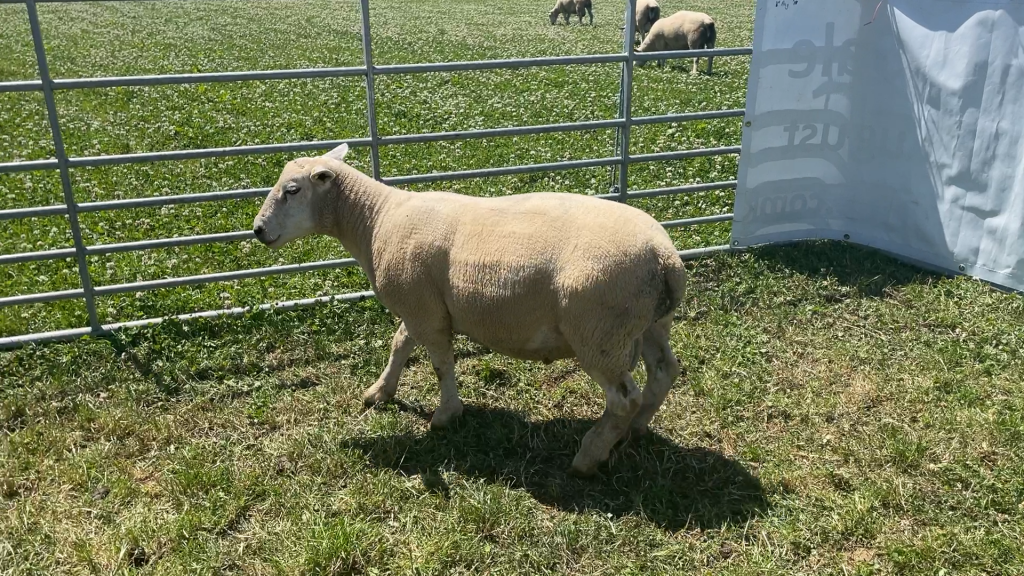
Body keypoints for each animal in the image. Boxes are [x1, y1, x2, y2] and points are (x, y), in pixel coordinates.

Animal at [252, 143, 686, 477]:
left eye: (292, 190)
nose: (257, 230)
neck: (374, 220)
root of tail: (665, 258)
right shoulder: (421, 305)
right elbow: (399, 345)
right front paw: (380, 392)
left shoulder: (425, 312)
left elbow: (440, 364)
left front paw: (446, 414)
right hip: (648, 324)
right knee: (663, 372)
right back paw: (635, 431)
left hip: (599, 332)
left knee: (623, 398)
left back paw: (589, 456)